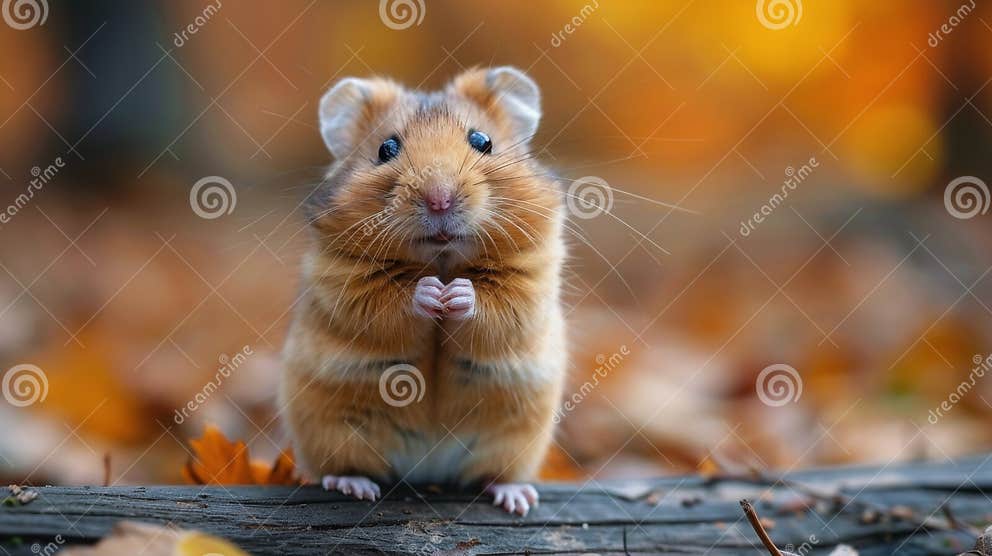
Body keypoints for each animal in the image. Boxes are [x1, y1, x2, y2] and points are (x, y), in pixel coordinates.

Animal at [279, 66, 566, 516]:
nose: (439, 200)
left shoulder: (530, 278)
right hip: (330, 427)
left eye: (482, 141)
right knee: (340, 467)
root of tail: (426, 469)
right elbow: (390, 301)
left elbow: (496, 303)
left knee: (493, 474)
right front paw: (432, 293)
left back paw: (515, 497)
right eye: (386, 149)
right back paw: (354, 485)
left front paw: (456, 295)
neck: (441, 256)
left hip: (516, 436)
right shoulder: (343, 280)